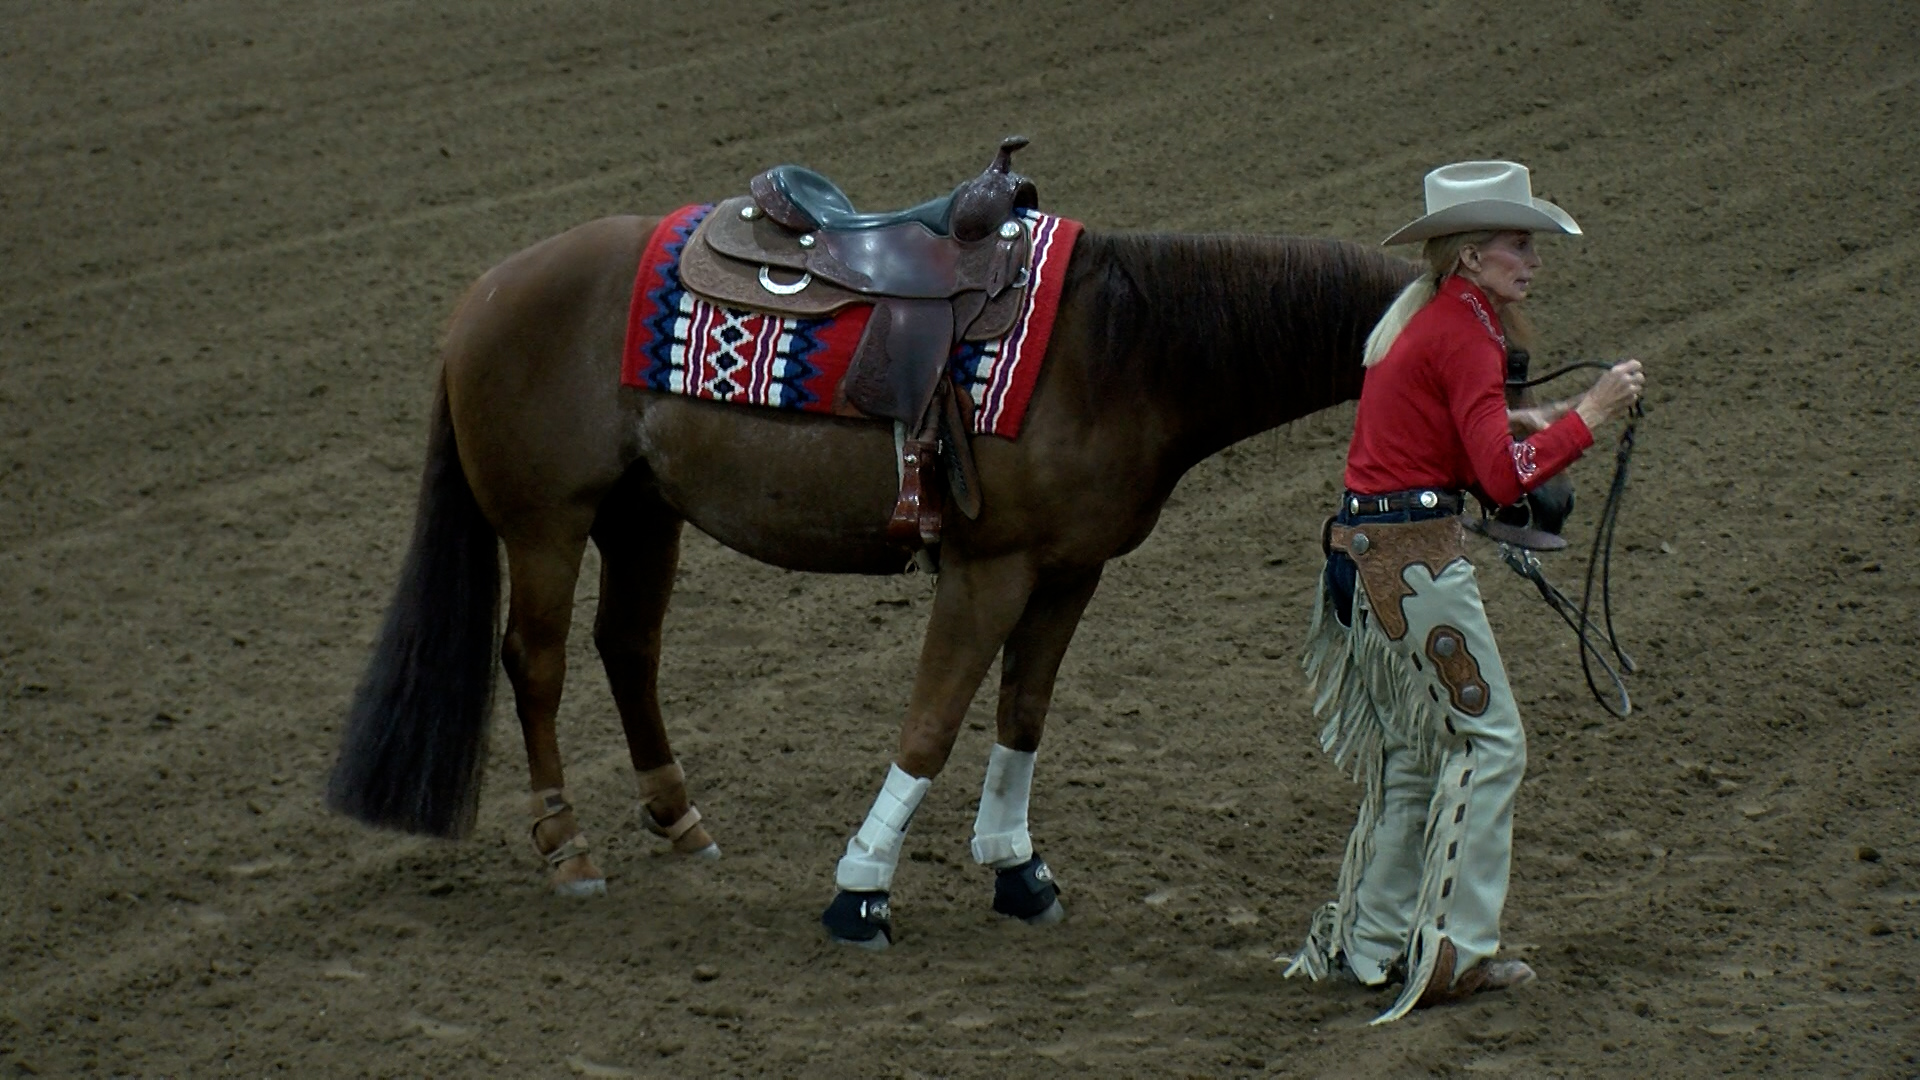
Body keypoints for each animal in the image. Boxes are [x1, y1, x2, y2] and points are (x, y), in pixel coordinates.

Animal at [324, 205, 1437, 946]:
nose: (1518, 502)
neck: (1122, 349)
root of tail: (483, 294)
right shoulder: (991, 569)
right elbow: (932, 723)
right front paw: (861, 889)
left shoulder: (1069, 571)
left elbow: (1022, 714)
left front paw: (1019, 872)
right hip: (547, 524)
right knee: (538, 664)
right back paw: (567, 848)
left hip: (643, 516)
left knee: (627, 647)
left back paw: (680, 819)